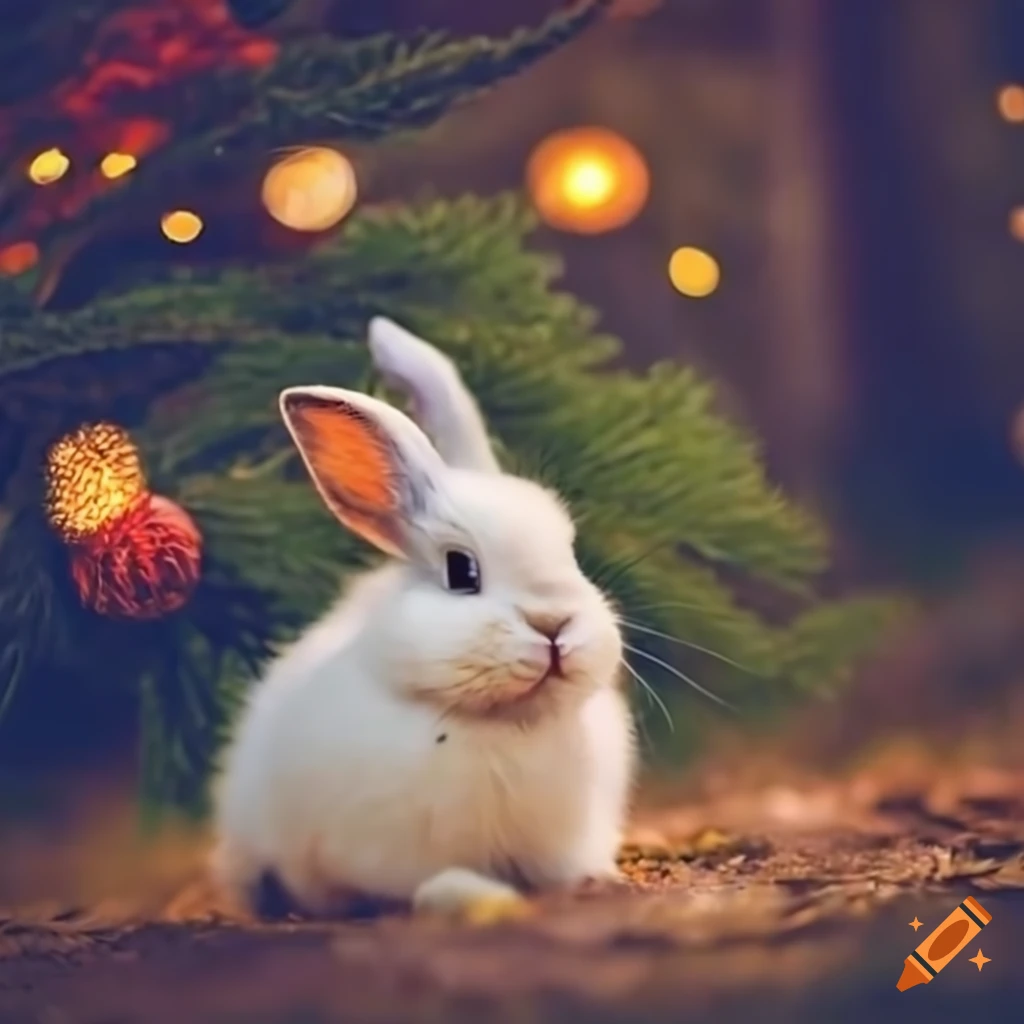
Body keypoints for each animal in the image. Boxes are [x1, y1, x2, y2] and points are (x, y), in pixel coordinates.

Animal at [211, 316, 636, 919]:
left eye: (571, 552)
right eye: (461, 570)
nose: (554, 623)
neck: (503, 722)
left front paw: (598, 882)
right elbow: (420, 884)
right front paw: (465, 895)